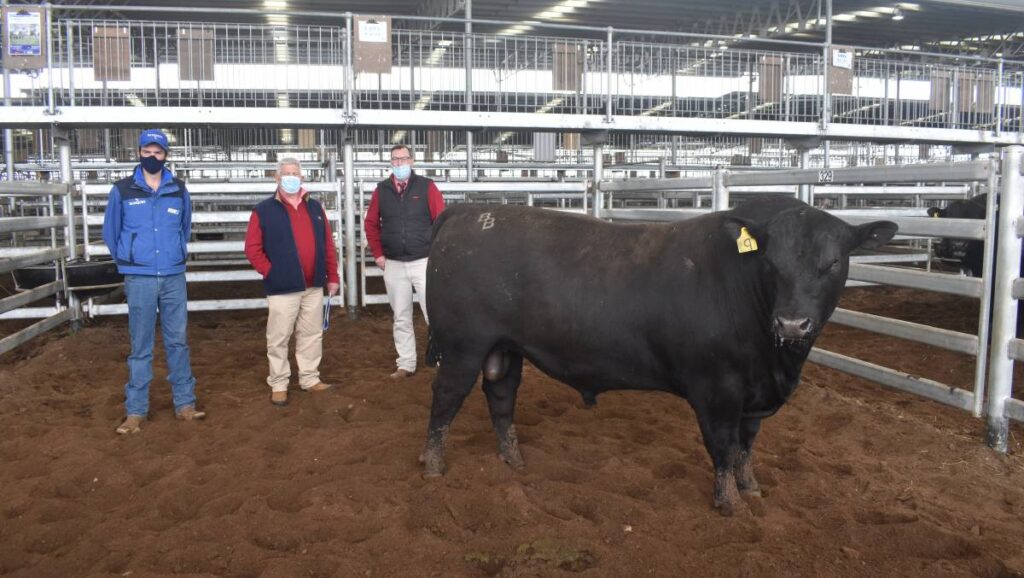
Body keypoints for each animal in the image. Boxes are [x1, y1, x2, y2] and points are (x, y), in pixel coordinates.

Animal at [420, 198, 897, 514]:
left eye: (833, 263)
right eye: (771, 263)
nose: (793, 323)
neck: (776, 363)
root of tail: (470, 211)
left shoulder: (753, 396)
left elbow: (747, 446)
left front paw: (751, 488)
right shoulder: (717, 389)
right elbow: (723, 447)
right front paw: (730, 504)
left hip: (503, 348)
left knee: (501, 397)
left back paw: (513, 460)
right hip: (463, 346)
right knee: (444, 400)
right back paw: (433, 466)